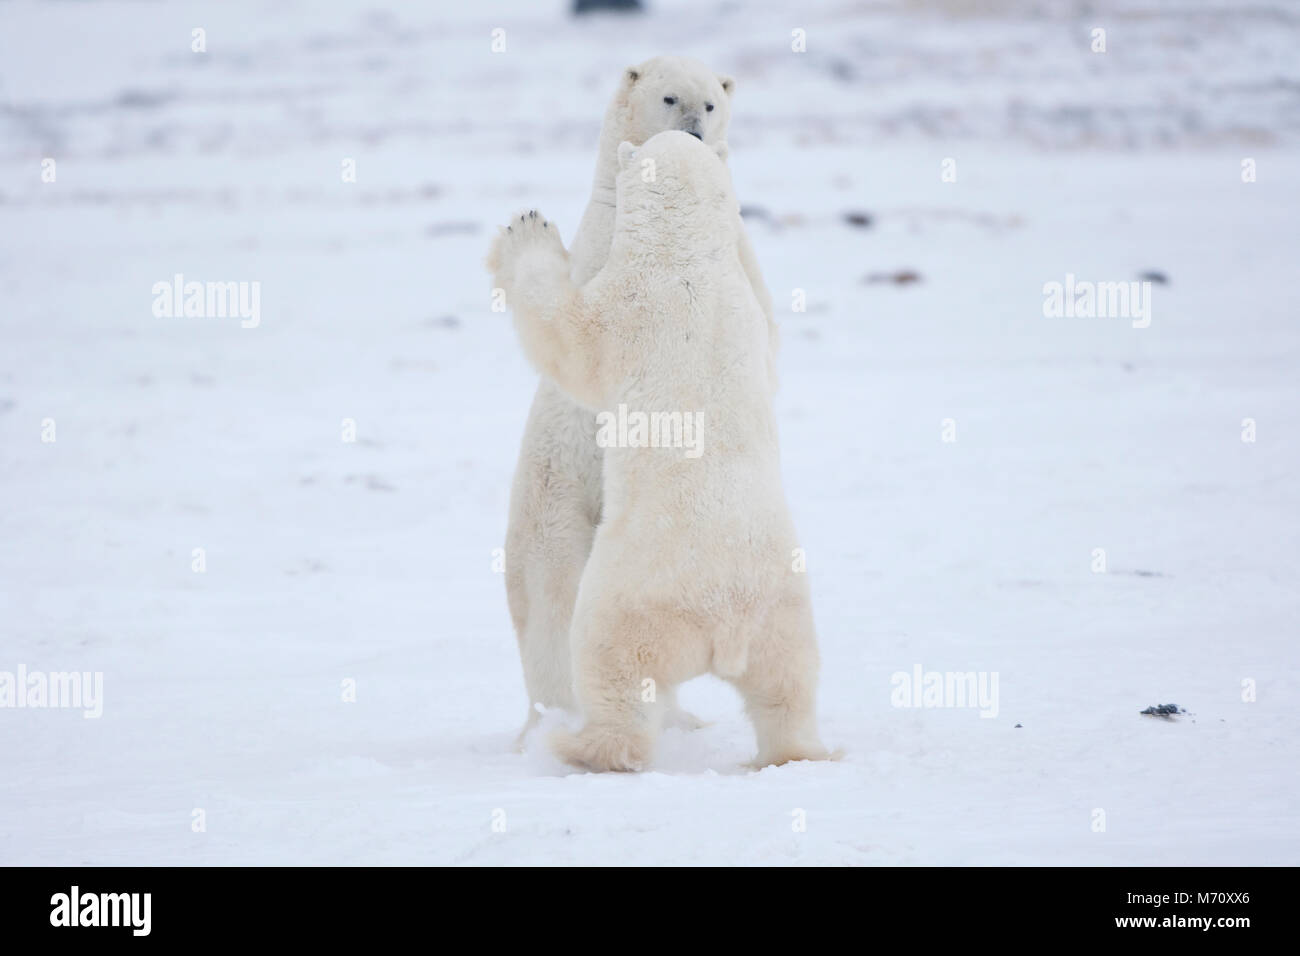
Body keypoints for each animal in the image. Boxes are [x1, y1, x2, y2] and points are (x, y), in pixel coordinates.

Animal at [488, 131, 831, 772]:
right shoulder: (748, 314)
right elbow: (772, 351)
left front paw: (526, 230)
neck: (688, 257)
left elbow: (566, 338)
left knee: (615, 672)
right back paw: (793, 751)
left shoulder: (628, 306)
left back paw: (583, 746)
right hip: (784, 609)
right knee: (788, 685)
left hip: (630, 600)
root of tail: (726, 624)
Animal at [504, 56, 776, 745]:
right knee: (554, 612)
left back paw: (682, 718)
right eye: (670, 98)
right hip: (556, 511)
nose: (696, 134)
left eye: (712, 103)